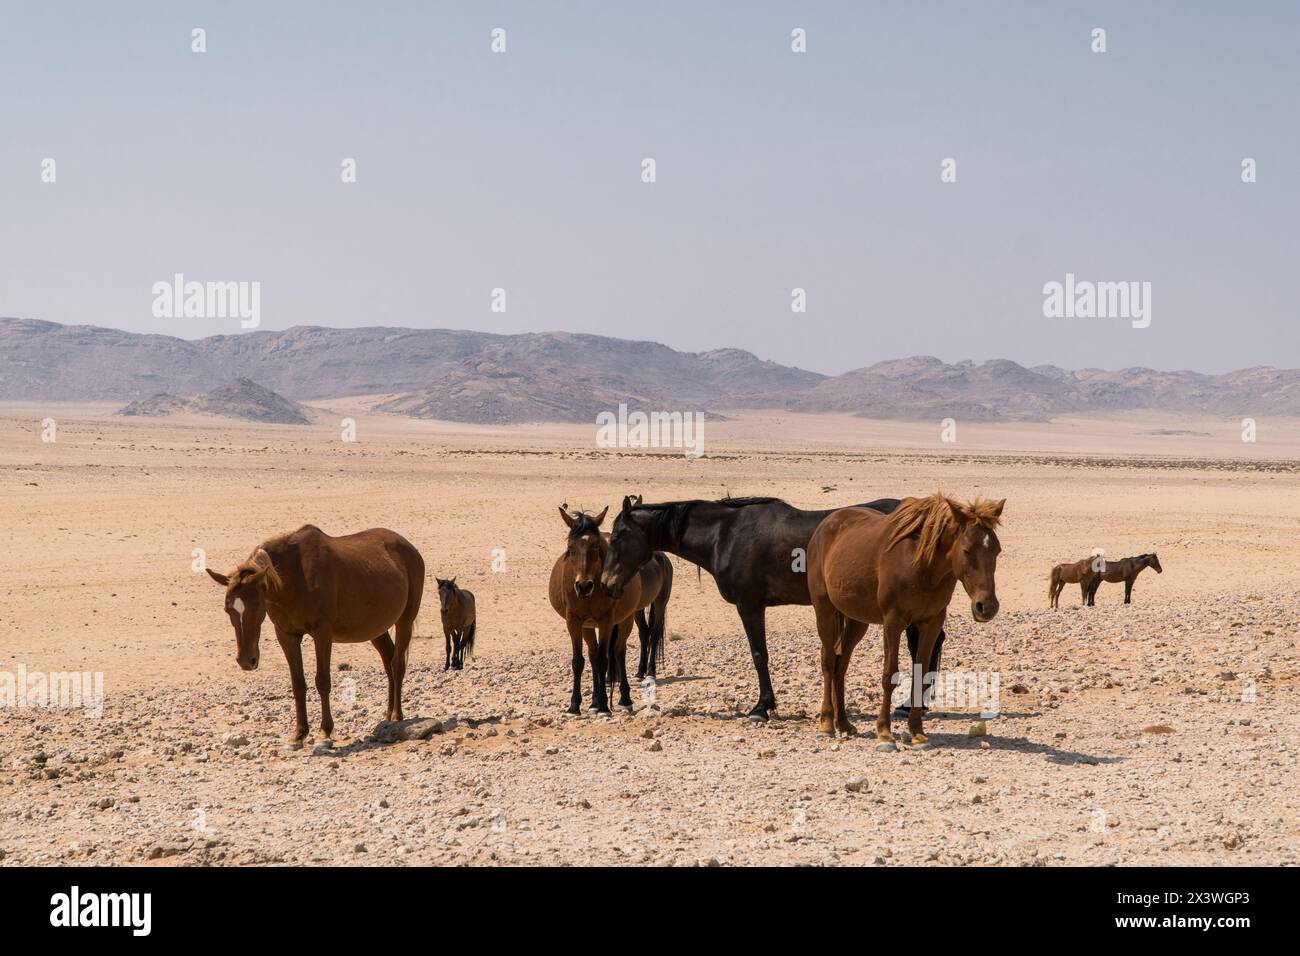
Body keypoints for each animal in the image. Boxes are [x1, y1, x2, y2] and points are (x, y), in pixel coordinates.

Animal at [206, 525, 424, 749]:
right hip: (376, 629)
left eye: (257, 606)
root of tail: (410, 548)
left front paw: (324, 732)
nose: (246, 660)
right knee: (388, 662)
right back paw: (388, 715)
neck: (295, 576)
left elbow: (322, 681)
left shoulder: (322, 633)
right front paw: (299, 734)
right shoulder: (286, 635)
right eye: (227, 609)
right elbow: (297, 683)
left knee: (397, 665)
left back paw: (397, 715)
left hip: (405, 620)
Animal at [548, 506, 673, 714]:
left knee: (627, 647)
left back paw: (631, 690)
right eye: (571, 548)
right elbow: (580, 660)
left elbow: (603, 658)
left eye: (596, 546)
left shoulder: (606, 621)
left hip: (651, 607)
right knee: (607, 649)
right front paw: (576, 705)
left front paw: (604, 705)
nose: (583, 586)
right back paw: (596, 700)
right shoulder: (575, 621)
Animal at [599, 494, 947, 721]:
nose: (605, 584)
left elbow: (759, 654)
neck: (724, 534)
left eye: (617, 536)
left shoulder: (750, 605)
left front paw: (762, 707)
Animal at [807, 495, 1003, 749]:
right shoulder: (893, 622)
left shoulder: (931, 623)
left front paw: (917, 732)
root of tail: (825, 524)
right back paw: (827, 724)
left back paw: (844, 723)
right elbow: (889, 675)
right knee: (829, 662)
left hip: (857, 620)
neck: (923, 566)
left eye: (997, 550)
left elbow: (921, 673)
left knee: (841, 665)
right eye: (967, 550)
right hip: (825, 611)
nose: (986, 606)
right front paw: (884, 733)